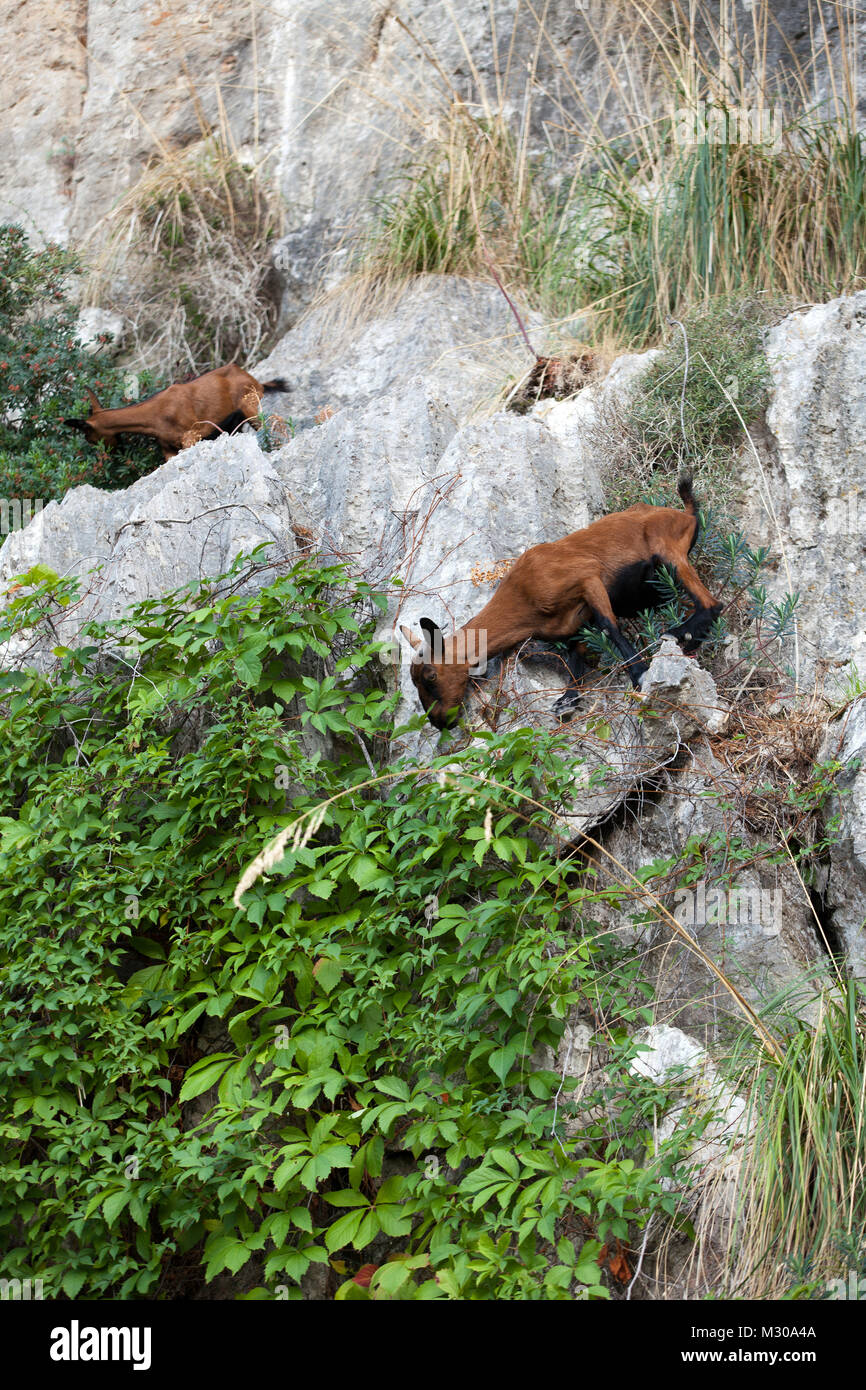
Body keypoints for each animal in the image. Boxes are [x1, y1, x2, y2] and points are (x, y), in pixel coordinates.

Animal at [63, 364, 288, 461]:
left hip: (251, 406)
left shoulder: (192, 435)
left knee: (272, 425)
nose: (109, 454)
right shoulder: (169, 449)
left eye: (90, 438)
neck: (154, 416)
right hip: (236, 421)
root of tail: (255, 381)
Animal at [401, 476, 722, 730]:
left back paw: (680, 633)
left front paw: (640, 675)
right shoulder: (576, 621)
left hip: (668, 552)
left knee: (712, 604)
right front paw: (568, 700)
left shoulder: (587, 578)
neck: (523, 599)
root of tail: (685, 514)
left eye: (430, 676)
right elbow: (575, 659)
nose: (439, 721)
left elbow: (609, 628)